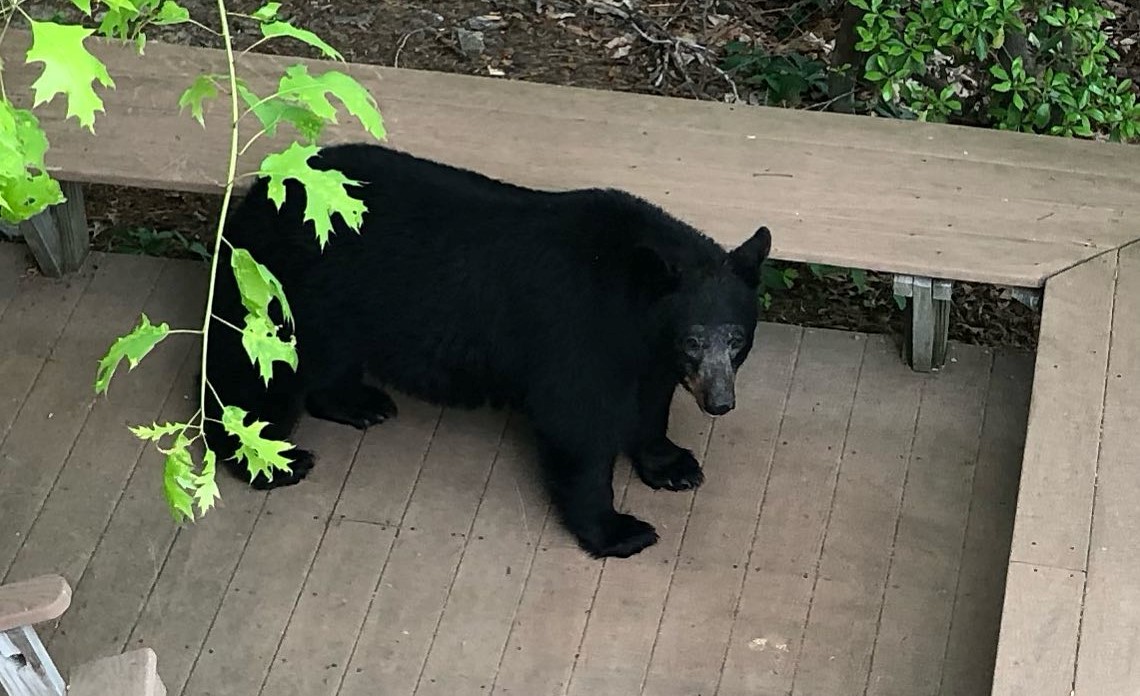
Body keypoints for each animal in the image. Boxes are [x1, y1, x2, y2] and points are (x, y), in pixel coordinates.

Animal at [203, 143, 771, 559]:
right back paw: (271, 459)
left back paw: (359, 402)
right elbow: (578, 425)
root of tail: (255, 194)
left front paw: (673, 463)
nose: (720, 402)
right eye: (693, 339)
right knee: (250, 370)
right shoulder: (579, 331)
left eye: (736, 340)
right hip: (280, 287)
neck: (630, 295)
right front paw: (620, 529)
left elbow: (650, 400)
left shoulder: (645, 351)